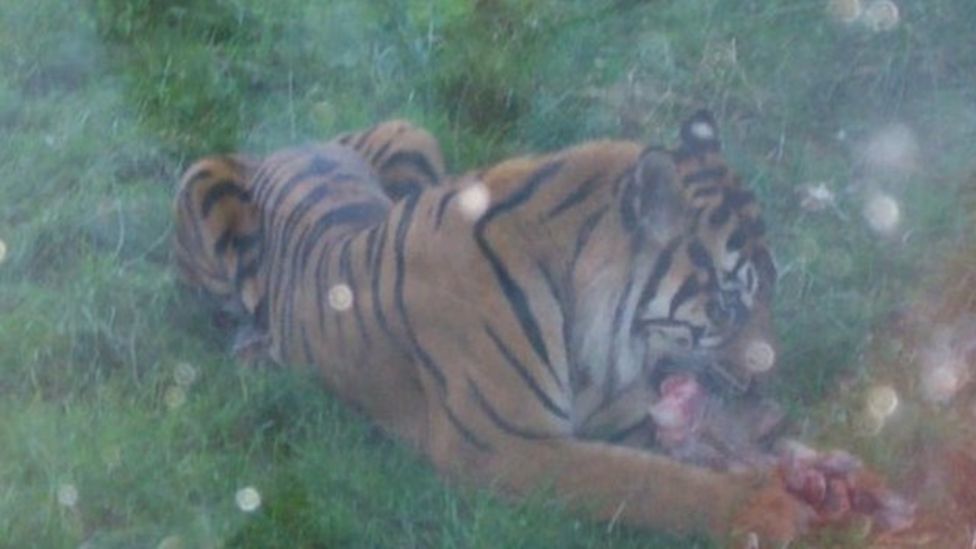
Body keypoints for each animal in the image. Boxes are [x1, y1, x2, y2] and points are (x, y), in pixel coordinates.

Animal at [172, 111, 808, 544]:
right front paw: (765, 510)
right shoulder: (505, 446)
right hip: (201, 181)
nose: (769, 382)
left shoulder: (619, 411)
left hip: (411, 134)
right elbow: (644, 482)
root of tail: (284, 144)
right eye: (730, 304)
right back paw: (255, 352)